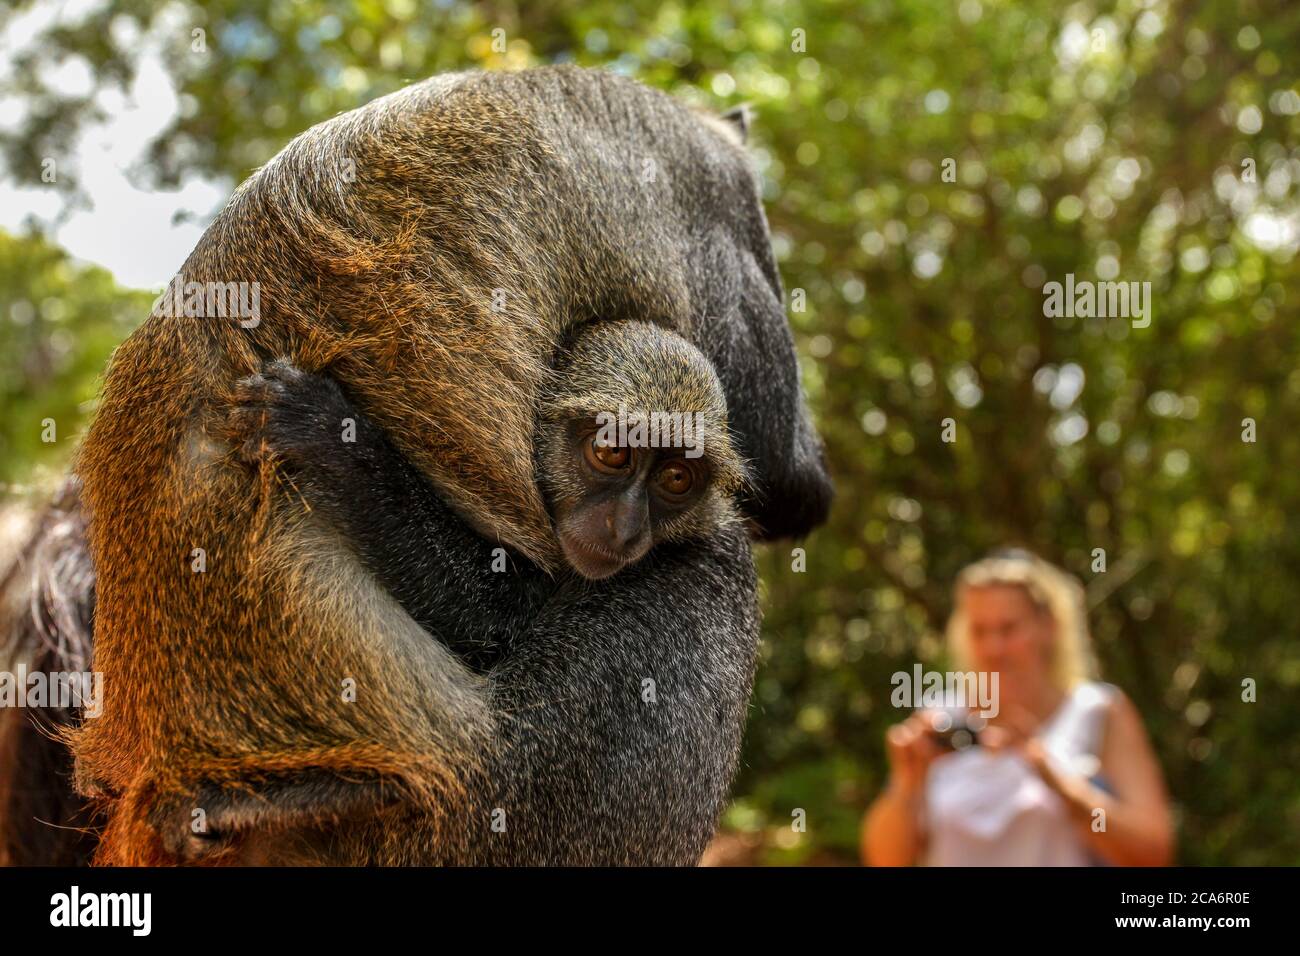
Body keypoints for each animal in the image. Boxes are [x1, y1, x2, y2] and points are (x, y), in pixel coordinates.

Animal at [1, 66, 832, 865]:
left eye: (671, 477)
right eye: (610, 454)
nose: (623, 525)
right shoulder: (719, 200)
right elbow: (783, 486)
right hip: (491, 814)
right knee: (707, 558)